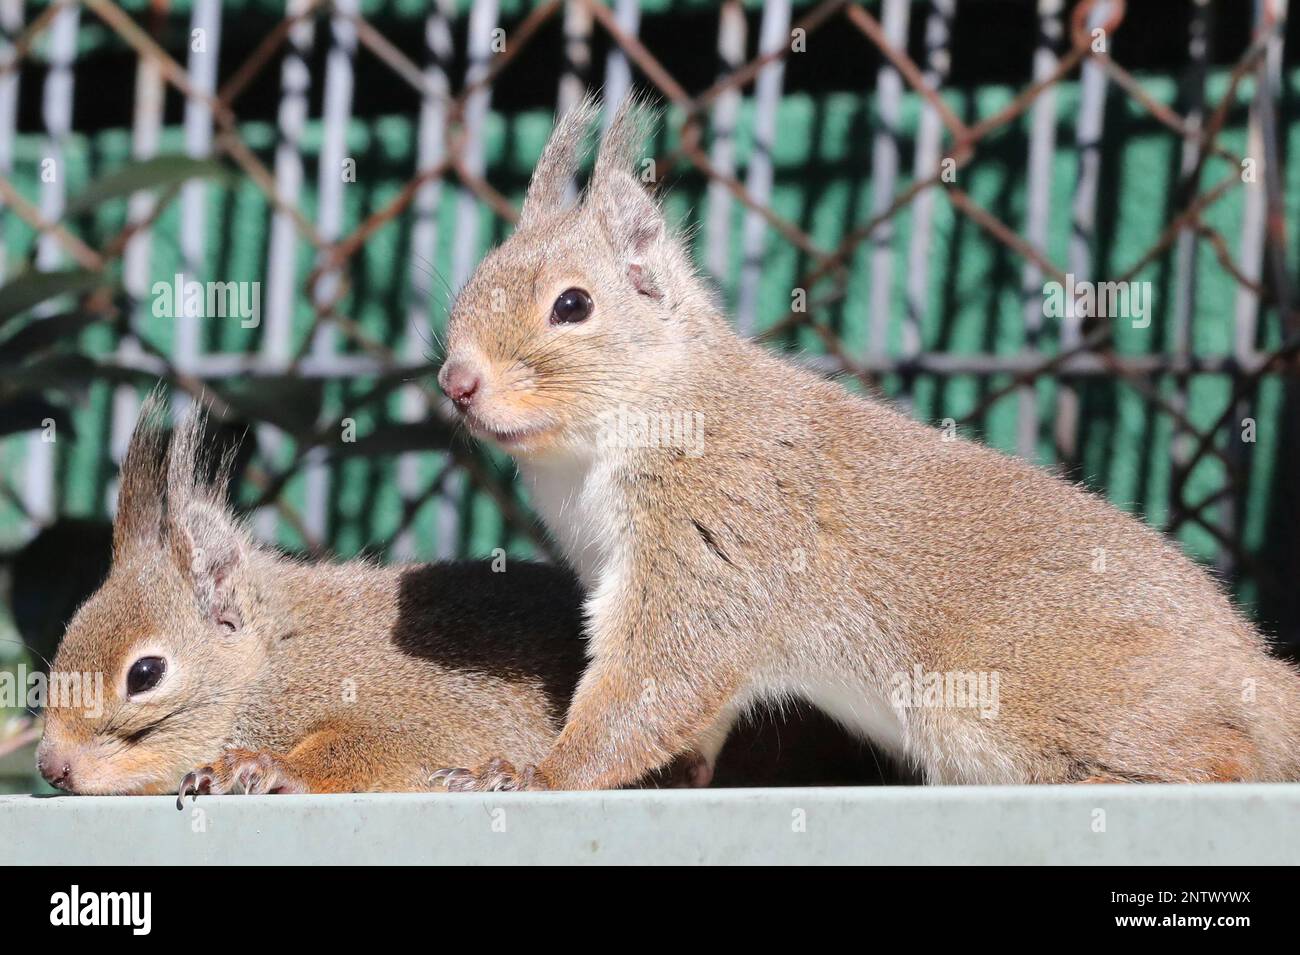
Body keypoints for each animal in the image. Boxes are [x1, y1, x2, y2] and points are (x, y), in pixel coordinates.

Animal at [35, 395, 596, 798]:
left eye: (145, 674)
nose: (51, 769)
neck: (278, 659)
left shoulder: (431, 709)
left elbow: (386, 746)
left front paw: (268, 767)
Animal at [432, 96, 1300, 791]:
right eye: (471, 281)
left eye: (572, 305)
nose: (456, 382)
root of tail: (1246, 665)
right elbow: (695, 712)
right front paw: (669, 777)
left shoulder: (718, 534)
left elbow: (657, 679)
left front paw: (539, 773)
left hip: (1009, 696)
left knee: (1223, 758)